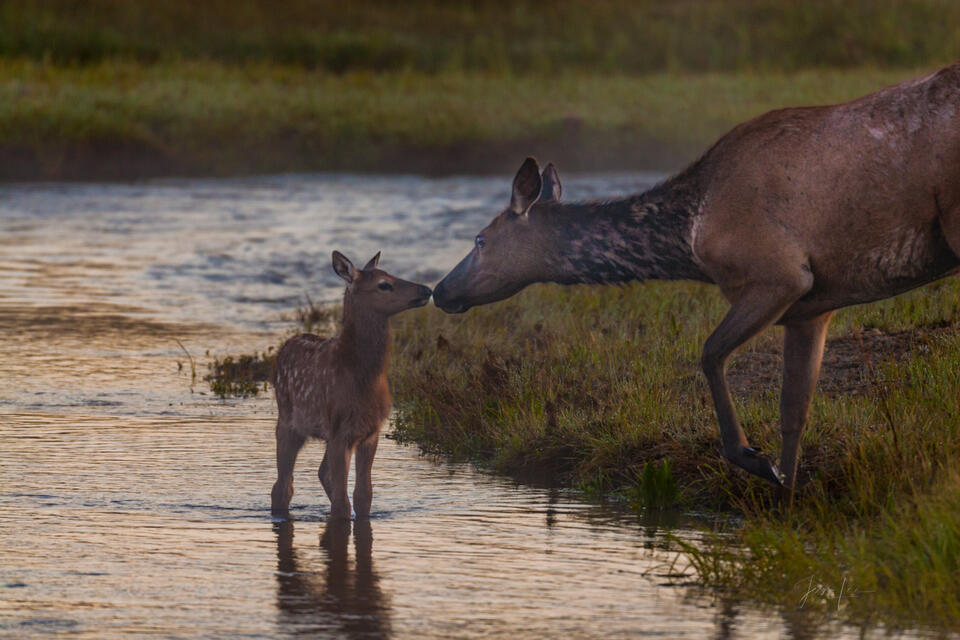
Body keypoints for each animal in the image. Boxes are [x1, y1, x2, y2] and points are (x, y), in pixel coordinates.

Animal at [271, 251, 433, 520]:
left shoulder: (369, 431)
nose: (427, 289)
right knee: (283, 485)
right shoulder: (340, 431)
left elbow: (363, 495)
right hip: (287, 421)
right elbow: (341, 503)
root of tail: (286, 345)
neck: (362, 378)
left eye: (392, 274)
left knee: (320, 474)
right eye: (384, 284)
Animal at [432, 62, 960, 500]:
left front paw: (753, 458)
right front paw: (785, 502)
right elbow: (794, 414)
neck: (689, 235)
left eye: (480, 239)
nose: (440, 290)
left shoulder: (780, 276)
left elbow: (708, 354)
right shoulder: (813, 308)